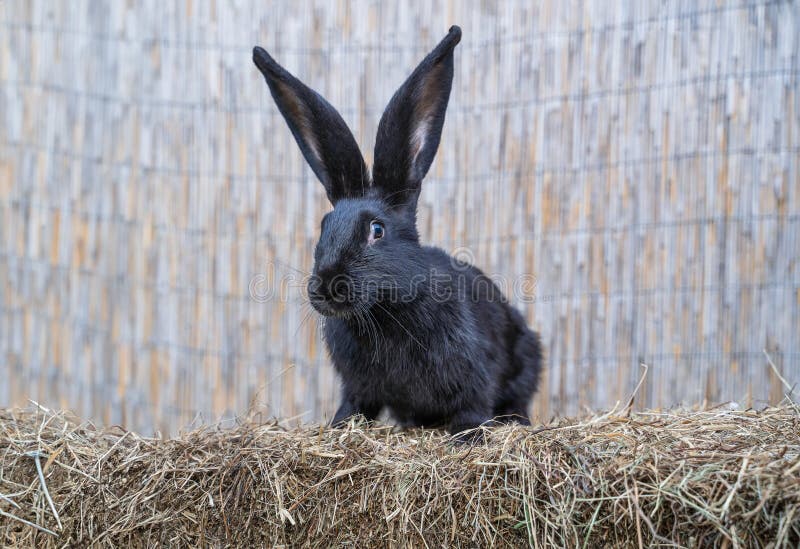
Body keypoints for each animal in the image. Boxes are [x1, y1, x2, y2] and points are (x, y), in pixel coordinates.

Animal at [253, 26, 542, 439]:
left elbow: (473, 403)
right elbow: (355, 408)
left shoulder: (473, 372)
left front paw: (467, 437)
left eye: (377, 230)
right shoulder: (359, 388)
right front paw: (338, 428)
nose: (326, 287)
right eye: (324, 225)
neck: (383, 313)